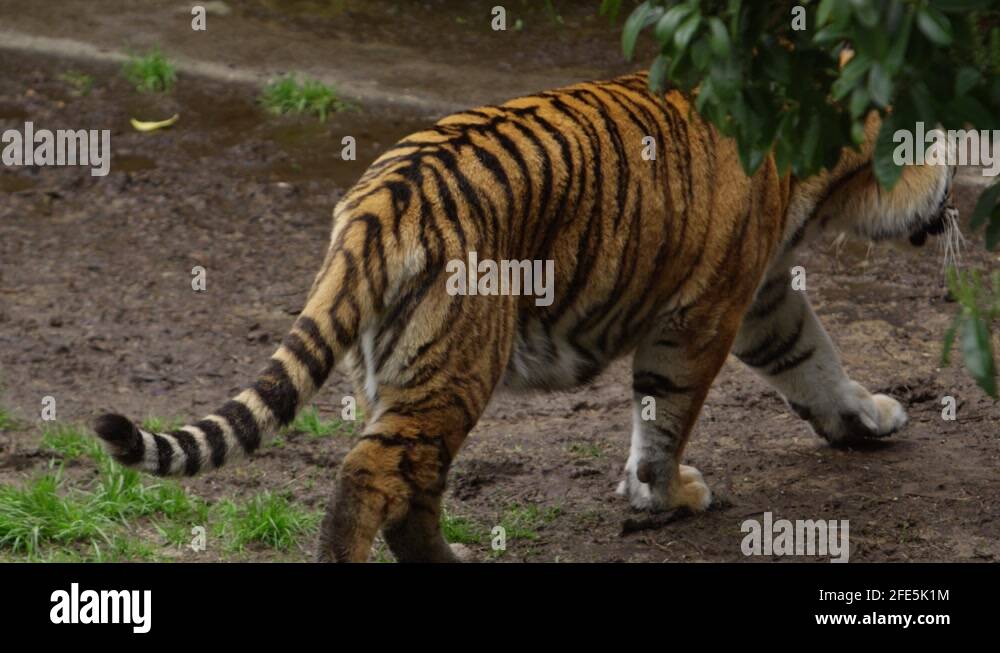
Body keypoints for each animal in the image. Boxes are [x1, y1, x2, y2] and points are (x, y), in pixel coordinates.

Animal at [93, 71, 957, 562]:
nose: (953, 208)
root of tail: (380, 196)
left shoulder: (765, 297)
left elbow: (814, 358)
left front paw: (868, 418)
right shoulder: (706, 311)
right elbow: (668, 413)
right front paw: (665, 495)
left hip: (408, 372)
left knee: (412, 485)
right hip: (456, 368)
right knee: (370, 478)